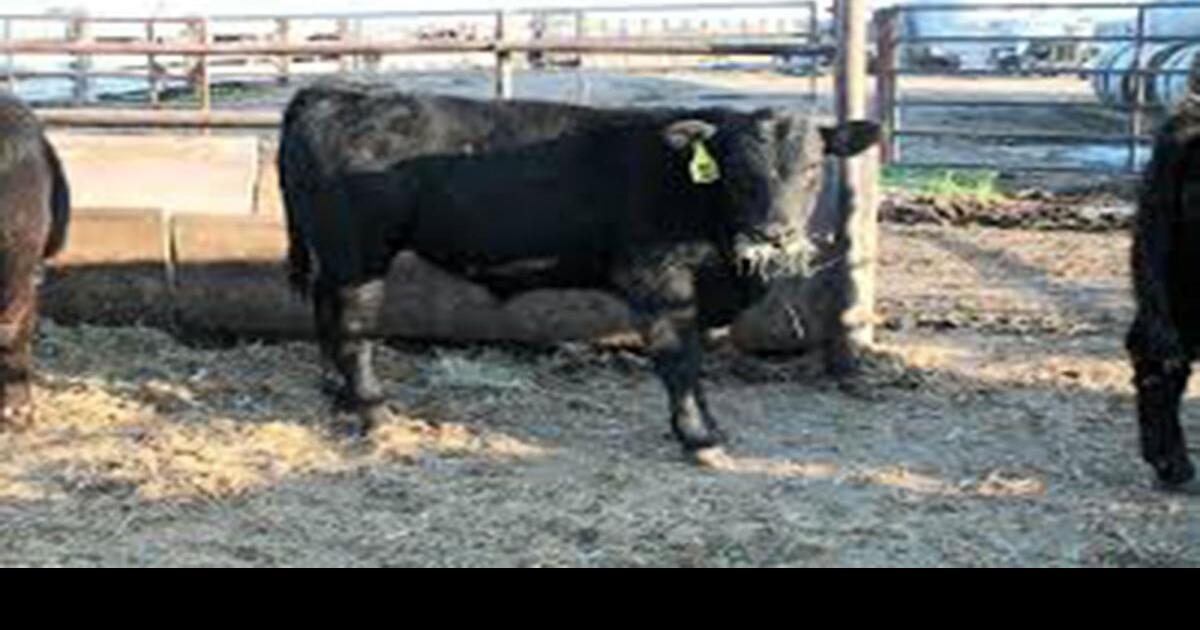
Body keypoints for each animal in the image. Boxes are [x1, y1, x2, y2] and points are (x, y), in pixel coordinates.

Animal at [279, 82, 879, 459]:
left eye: (812, 167)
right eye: (738, 171)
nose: (773, 231)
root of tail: (334, 93)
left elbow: (697, 359)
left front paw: (709, 425)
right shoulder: (656, 279)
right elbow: (678, 358)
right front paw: (697, 439)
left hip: (333, 256)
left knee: (325, 314)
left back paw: (336, 394)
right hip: (359, 256)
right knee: (353, 330)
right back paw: (373, 413)